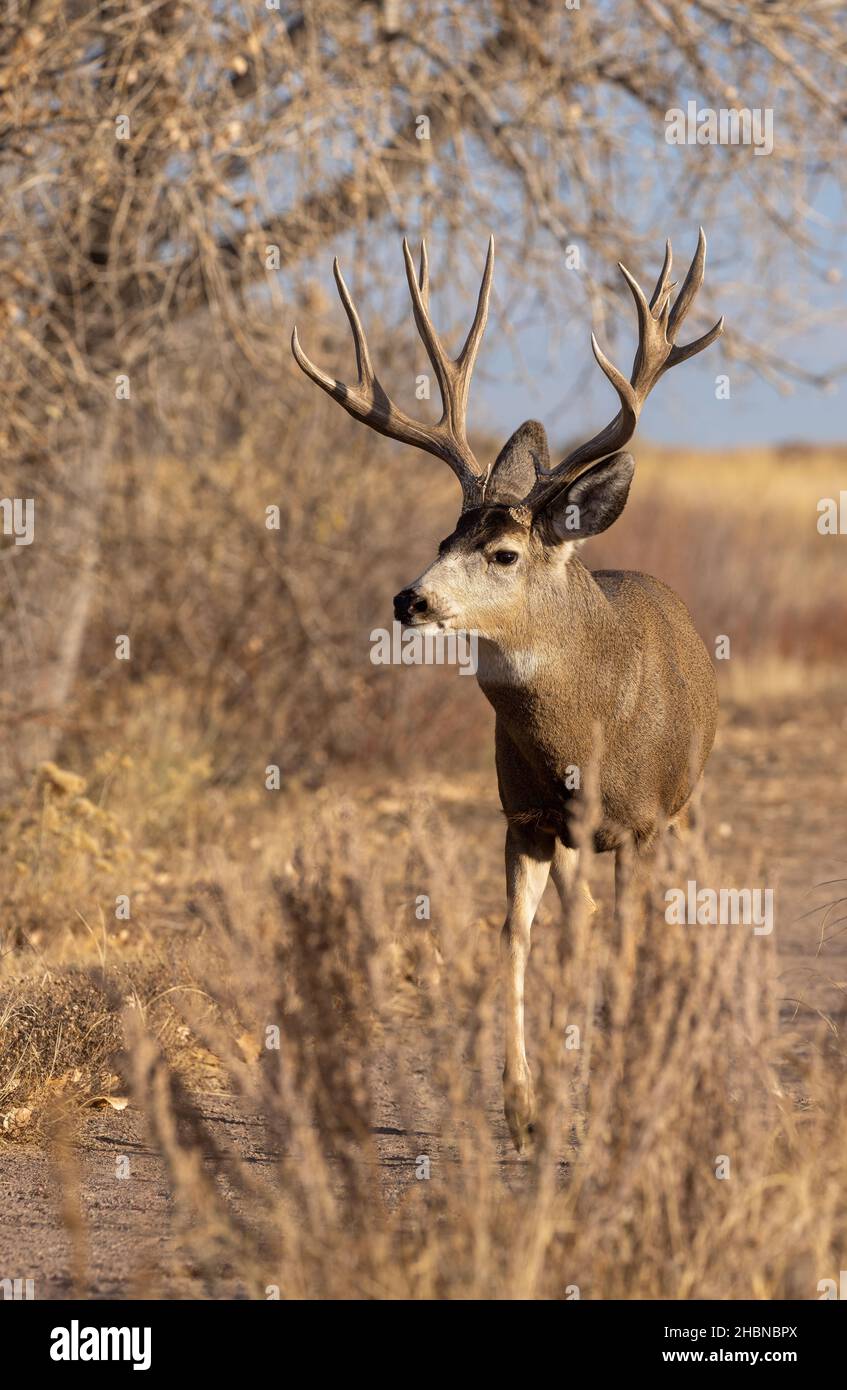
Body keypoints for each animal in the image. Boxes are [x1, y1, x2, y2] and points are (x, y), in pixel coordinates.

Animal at [292, 230, 723, 1152]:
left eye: (502, 553)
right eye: (441, 538)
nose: (408, 600)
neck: (583, 732)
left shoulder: (635, 822)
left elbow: (612, 943)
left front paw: (604, 1098)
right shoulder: (523, 816)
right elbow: (519, 939)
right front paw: (528, 1108)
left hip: (676, 812)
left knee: (645, 924)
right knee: (571, 924)